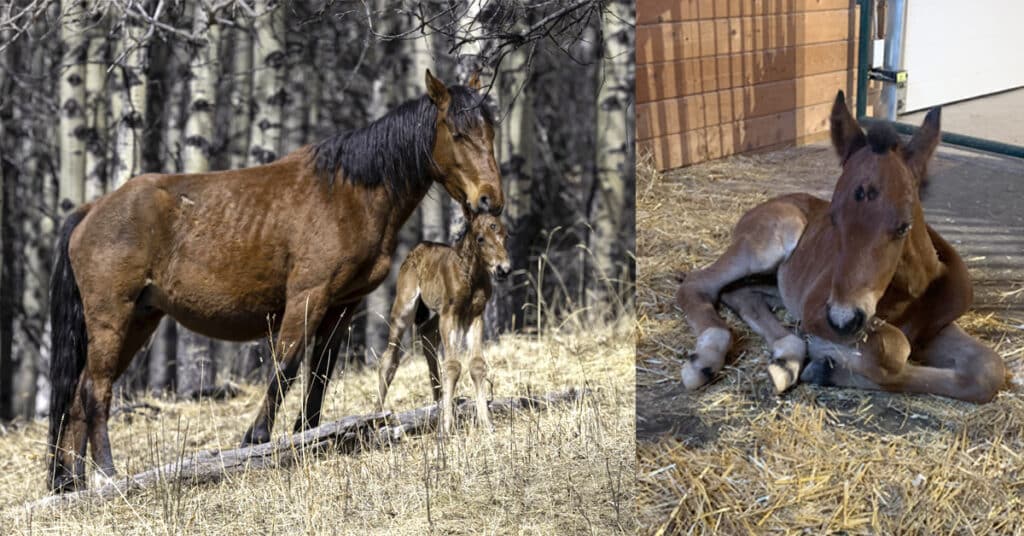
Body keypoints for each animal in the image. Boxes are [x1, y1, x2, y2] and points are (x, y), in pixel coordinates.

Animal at [376, 212, 510, 434]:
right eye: (480, 238)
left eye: (505, 235)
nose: (503, 269)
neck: (471, 276)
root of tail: (416, 249)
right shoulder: (451, 313)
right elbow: (453, 365)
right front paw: (447, 426)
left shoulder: (475, 314)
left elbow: (477, 363)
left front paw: (486, 423)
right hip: (405, 305)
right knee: (390, 357)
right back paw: (376, 415)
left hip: (439, 313)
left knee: (426, 332)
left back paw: (438, 400)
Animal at [676, 91, 1007, 403]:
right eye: (833, 218)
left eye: (904, 226)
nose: (843, 320)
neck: (906, 294)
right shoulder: (817, 309)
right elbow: (894, 348)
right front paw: (827, 360)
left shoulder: (933, 328)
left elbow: (988, 369)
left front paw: (824, 365)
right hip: (769, 241)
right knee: (697, 283)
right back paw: (705, 359)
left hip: (778, 282)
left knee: (740, 293)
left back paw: (787, 360)